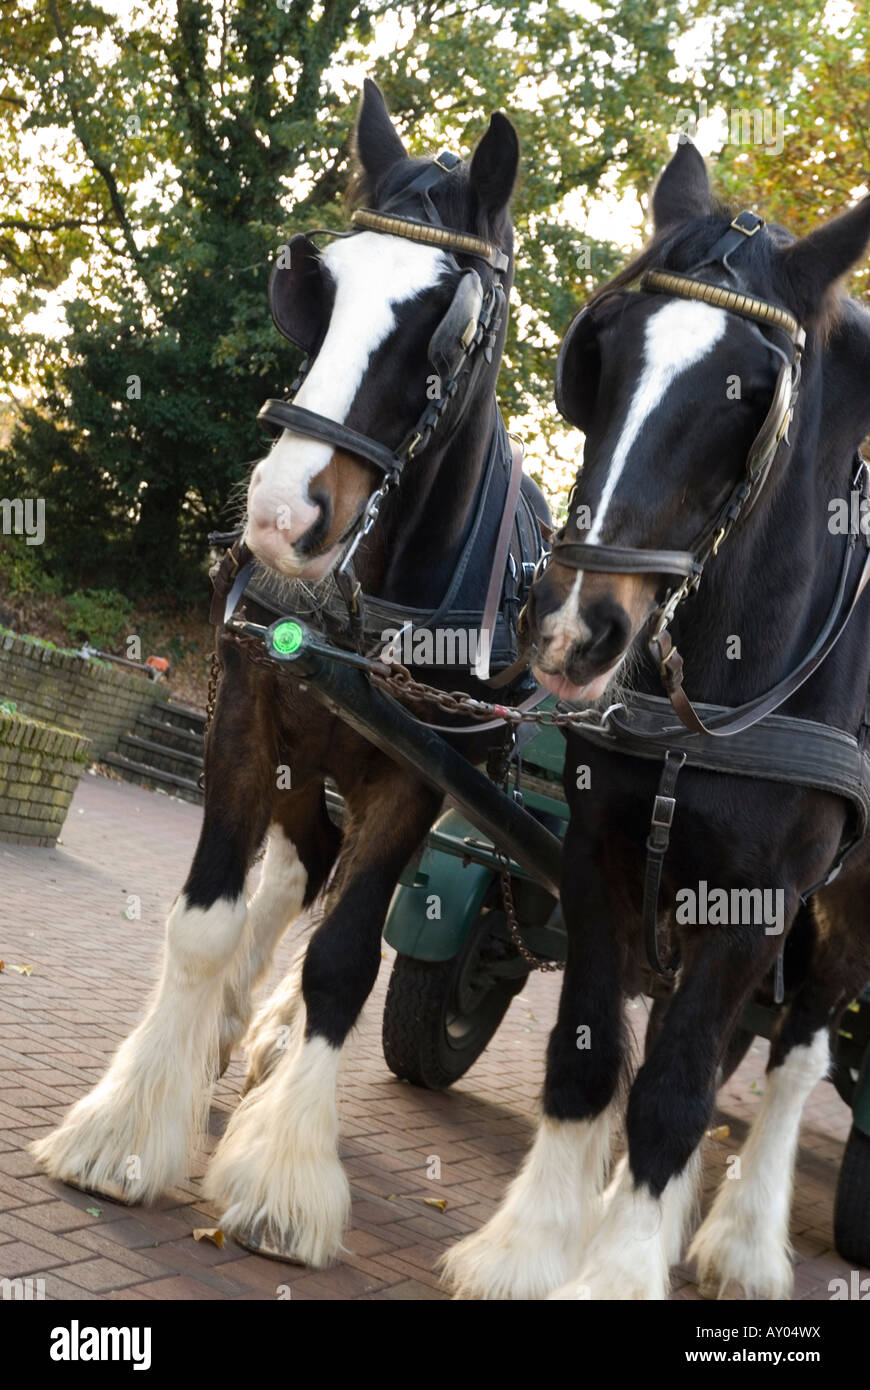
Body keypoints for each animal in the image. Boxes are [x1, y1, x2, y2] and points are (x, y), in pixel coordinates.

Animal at [32, 80, 545, 1268]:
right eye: (314, 286)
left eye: (451, 318)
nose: (279, 516)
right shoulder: (247, 710)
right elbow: (208, 917)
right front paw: (128, 1126)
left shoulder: (419, 779)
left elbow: (346, 961)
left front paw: (283, 1182)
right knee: (297, 869)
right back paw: (229, 1029)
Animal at [442, 139, 870, 1300]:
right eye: (602, 352)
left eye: (751, 396)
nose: (571, 626)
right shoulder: (603, 850)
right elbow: (593, 1054)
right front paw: (531, 1247)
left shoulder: (763, 896)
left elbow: (676, 1091)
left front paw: (616, 1270)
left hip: (848, 904)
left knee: (801, 1045)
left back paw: (743, 1241)